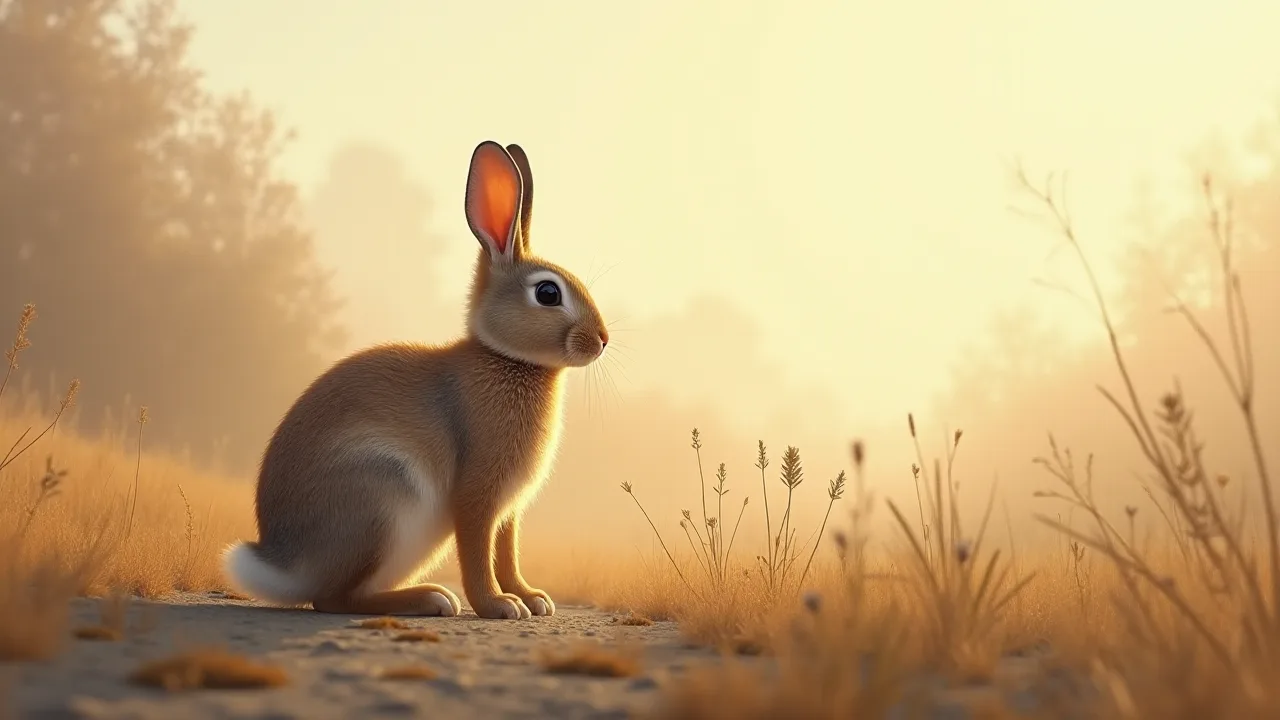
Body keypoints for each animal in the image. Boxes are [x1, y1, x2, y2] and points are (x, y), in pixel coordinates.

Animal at [220, 140, 609, 620]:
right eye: (548, 293)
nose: (602, 340)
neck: (508, 359)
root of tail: (284, 565)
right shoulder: (476, 494)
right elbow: (478, 553)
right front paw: (500, 606)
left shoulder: (509, 510)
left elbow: (506, 551)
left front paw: (533, 599)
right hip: (382, 500)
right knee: (333, 599)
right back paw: (432, 599)